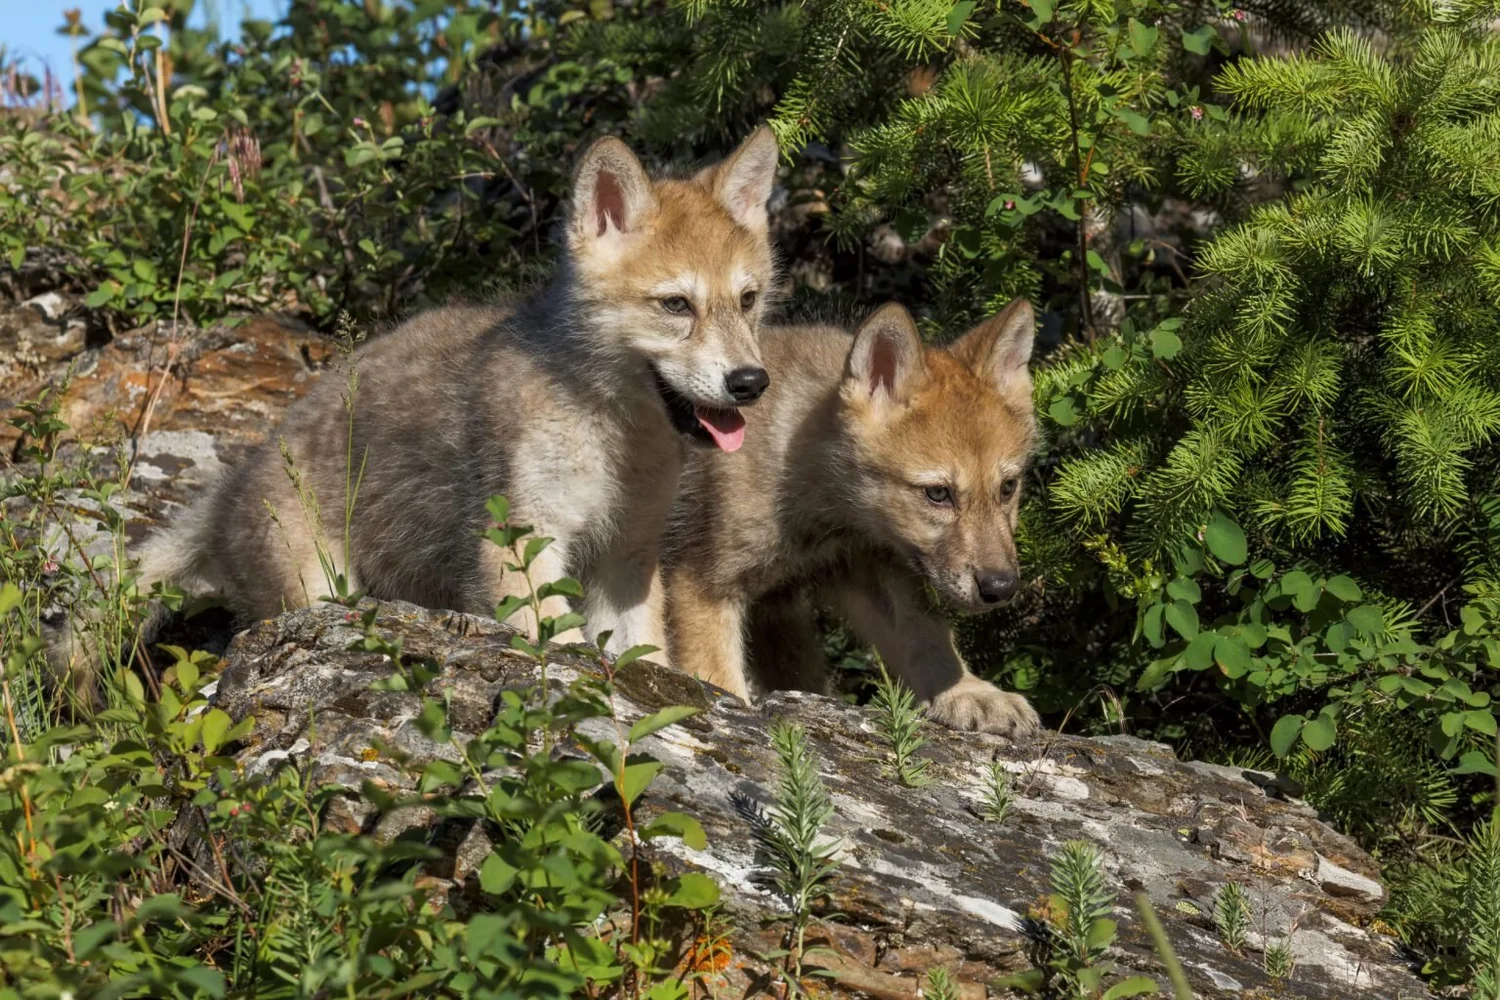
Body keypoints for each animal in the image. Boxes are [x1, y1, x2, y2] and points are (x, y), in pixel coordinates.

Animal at [52, 128, 781, 686]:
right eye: (676, 305)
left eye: (747, 300)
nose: (751, 382)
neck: (610, 432)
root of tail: (228, 490)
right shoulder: (521, 547)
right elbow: (558, 644)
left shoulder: (625, 560)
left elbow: (647, 658)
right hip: (317, 595)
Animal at [663, 299, 1041, 735]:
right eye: (938, 494)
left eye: (1008, 487)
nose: (1002, 587)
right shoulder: (702, 587)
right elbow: (720, 680)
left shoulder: (868, 565)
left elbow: (927, 636)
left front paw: (971, 693)